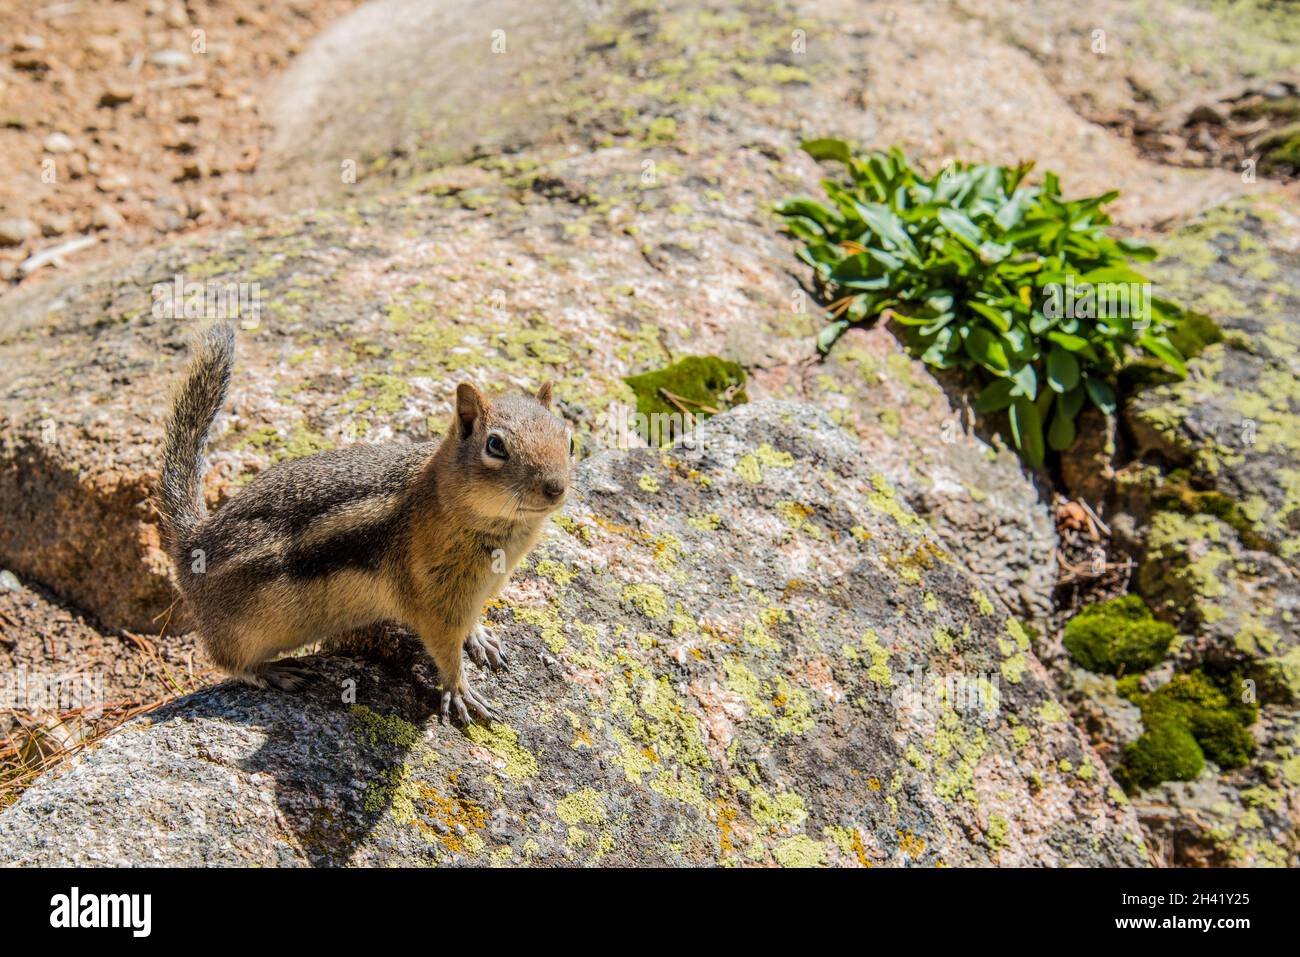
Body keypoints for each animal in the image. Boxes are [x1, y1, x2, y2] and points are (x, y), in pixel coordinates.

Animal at [156, 322, 574, 723]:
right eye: (495, 446)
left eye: (568, 440)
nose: (556, 487)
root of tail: (192, 541)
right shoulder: (432, 600)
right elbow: (445, 650)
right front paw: (460, 691)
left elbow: (468, 625)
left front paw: (481, 637)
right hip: (241, 631)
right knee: (227, 661)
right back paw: (271, 672)